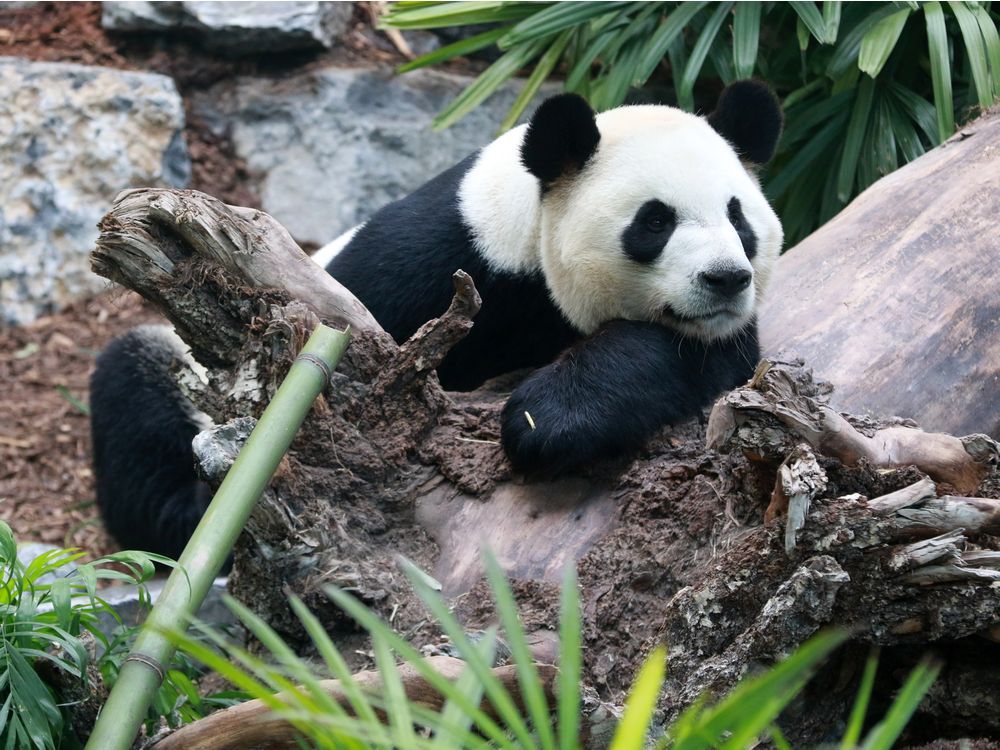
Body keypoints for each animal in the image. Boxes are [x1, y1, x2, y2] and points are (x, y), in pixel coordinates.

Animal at [90, 80, 783, 559]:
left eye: (738, 217)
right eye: (655, 222)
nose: (725, 277)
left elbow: (694, 355)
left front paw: (548, 420)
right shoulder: (428, 259)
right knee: (133, 389)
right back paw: (197, 513)